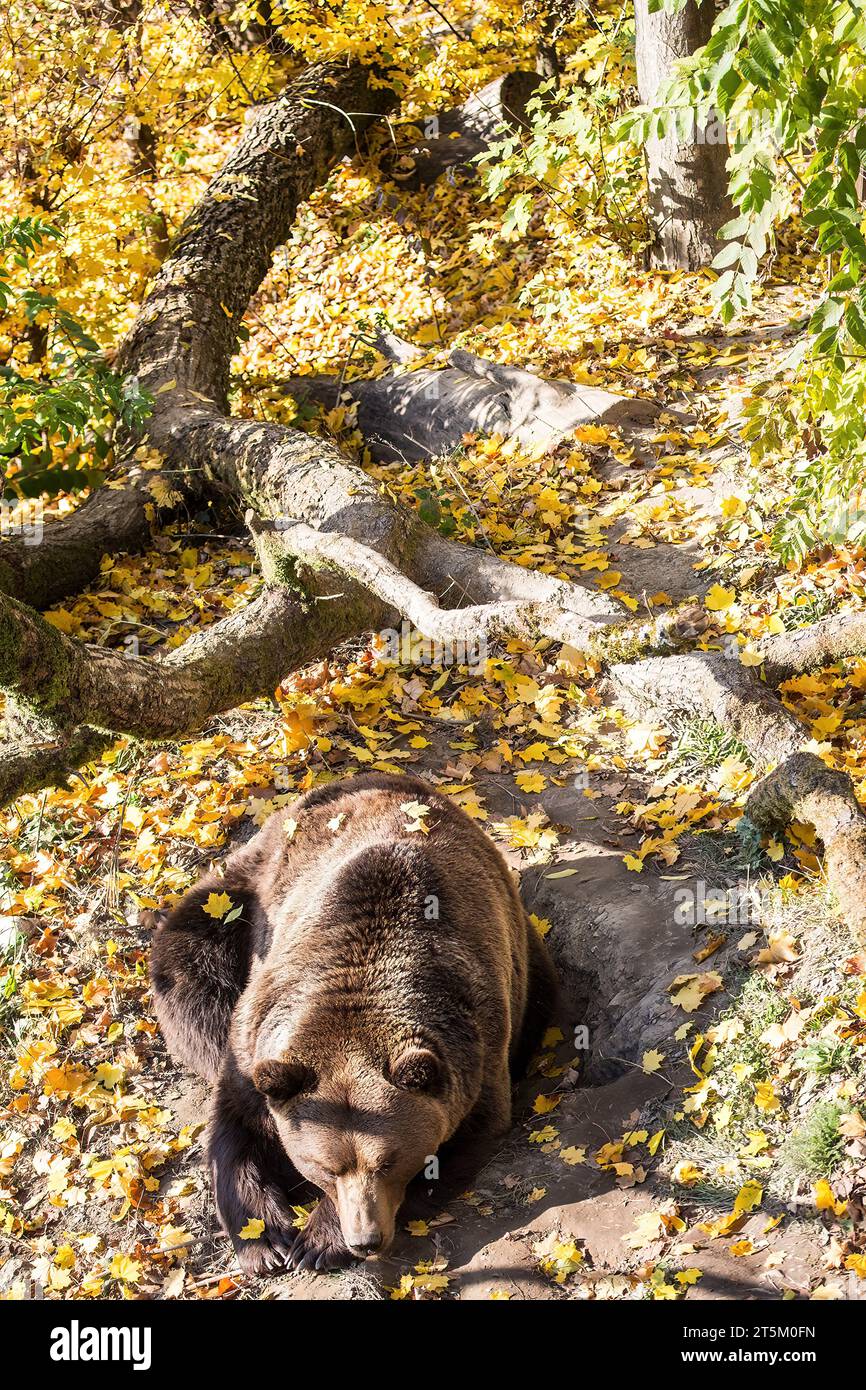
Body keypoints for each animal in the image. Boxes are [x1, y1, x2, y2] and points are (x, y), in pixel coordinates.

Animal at [149, 770, 557, 1275]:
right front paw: (266, 1241)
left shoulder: (477, 1045)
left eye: (390, 1162)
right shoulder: (256, 1038)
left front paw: (317, 1242)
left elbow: (468, 1132)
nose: (365, 1239)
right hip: (234, 901)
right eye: (326, 1166)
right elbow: (236, 1129)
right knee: (191, 981)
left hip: (531, 966)